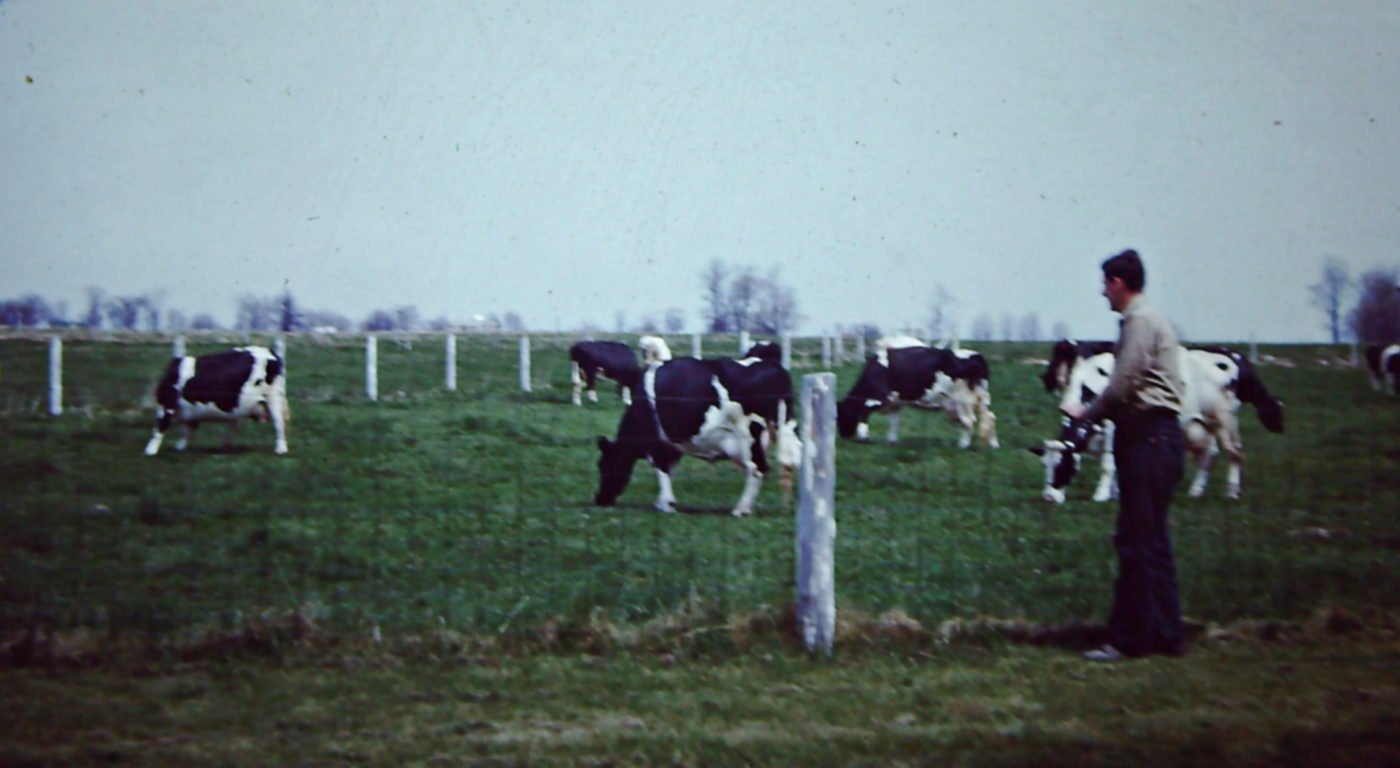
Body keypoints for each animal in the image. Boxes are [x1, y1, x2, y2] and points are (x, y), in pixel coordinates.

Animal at [144, 346, 290, 456]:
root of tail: (271, 352)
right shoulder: (190, 415)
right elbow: (187, 431)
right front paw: (180, 447)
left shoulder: (167, 405)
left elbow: (159, 428)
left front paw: (150, 451)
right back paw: (224, 446)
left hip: (274, 398)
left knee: (278, 423)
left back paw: (280, 449)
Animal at [593, 351, 799, 517]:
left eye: (603, 465)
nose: (600, 500)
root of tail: (771, 365)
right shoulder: (672, 447)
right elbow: (670, 471)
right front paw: (663, 502)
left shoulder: (658, 444)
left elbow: (661, 470)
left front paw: (666, 504)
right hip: (783, 430)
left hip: (749, 438)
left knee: (758, 469)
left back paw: (740, 509)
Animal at [836, 335, 999, 449]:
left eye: (841, 415)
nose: (843, 435)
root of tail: (976, 355)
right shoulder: (895, 401)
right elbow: (894, 421)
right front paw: (891, 441)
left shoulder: (881, 397)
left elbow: (864, 414)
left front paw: (864, 437)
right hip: (981, 398)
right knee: (989, 417)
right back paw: (994, 445)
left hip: (962, 400)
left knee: (969, 421)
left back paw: (963, 445)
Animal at [1031, 347, 1284, 503]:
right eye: (1045, 465)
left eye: (1063, 465)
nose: (1048, 498)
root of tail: (1233, 355)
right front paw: (1116, 493)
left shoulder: (1114, 427)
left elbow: (1108, 464)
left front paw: (1102, 495)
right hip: (1198, 427)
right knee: (1208, 455)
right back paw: (1196, 490)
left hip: (1224, 421)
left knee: (1235, 454)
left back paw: (1232, 491)